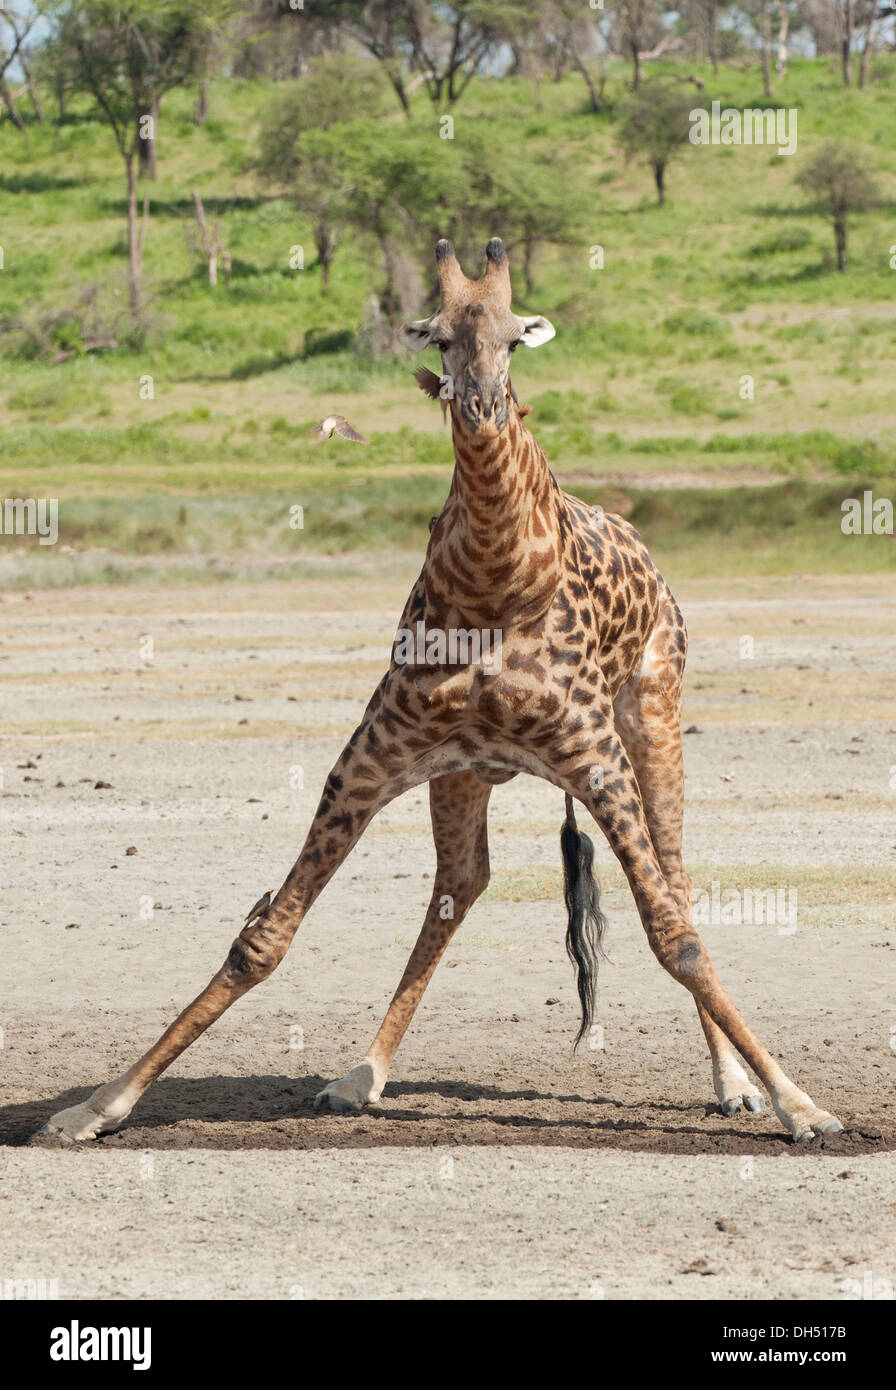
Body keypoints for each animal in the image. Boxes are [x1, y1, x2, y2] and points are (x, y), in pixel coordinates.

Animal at [40, 237, 842, 1145]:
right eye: (439, 336)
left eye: (517, 337)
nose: (484, 402)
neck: (494, 584)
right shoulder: (370, 758)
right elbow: (263, 938)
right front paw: (98, 1105)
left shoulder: (596, 757)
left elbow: (676, 937)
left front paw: (799, 1103)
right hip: (462, 773)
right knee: (461, 884)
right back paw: (362, 1074)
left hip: (654, 718)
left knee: (674, 877)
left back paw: (733, 1084)